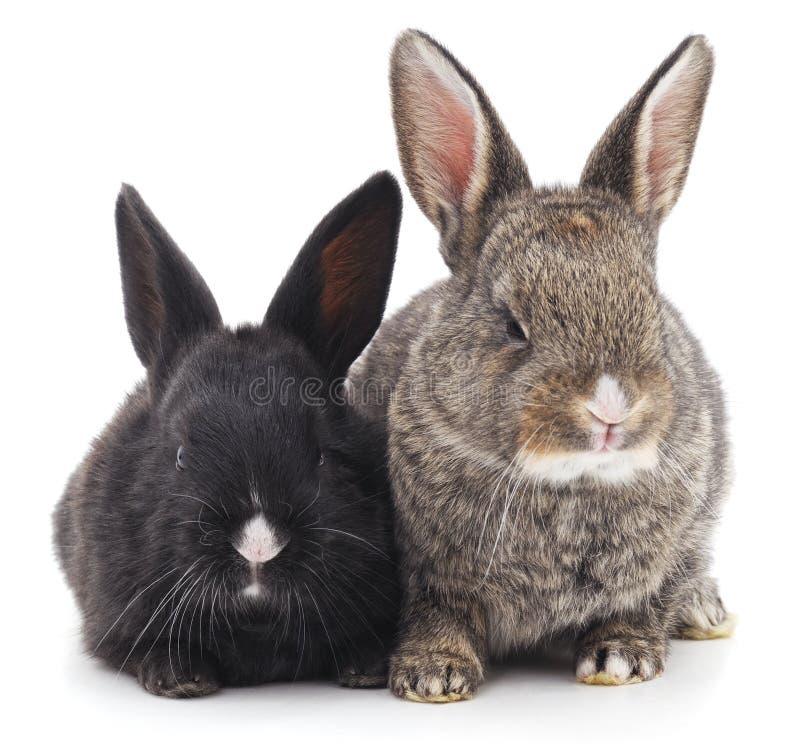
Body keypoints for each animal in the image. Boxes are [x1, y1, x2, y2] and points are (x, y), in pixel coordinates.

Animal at [349, 31, 733, 702]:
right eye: (511, 325)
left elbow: (645, 601)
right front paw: (432, 674)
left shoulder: (669, 553)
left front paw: (622, 658)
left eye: (651, 306)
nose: (610, 407)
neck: (570, 484)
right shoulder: (427, 572)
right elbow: (435, 612)